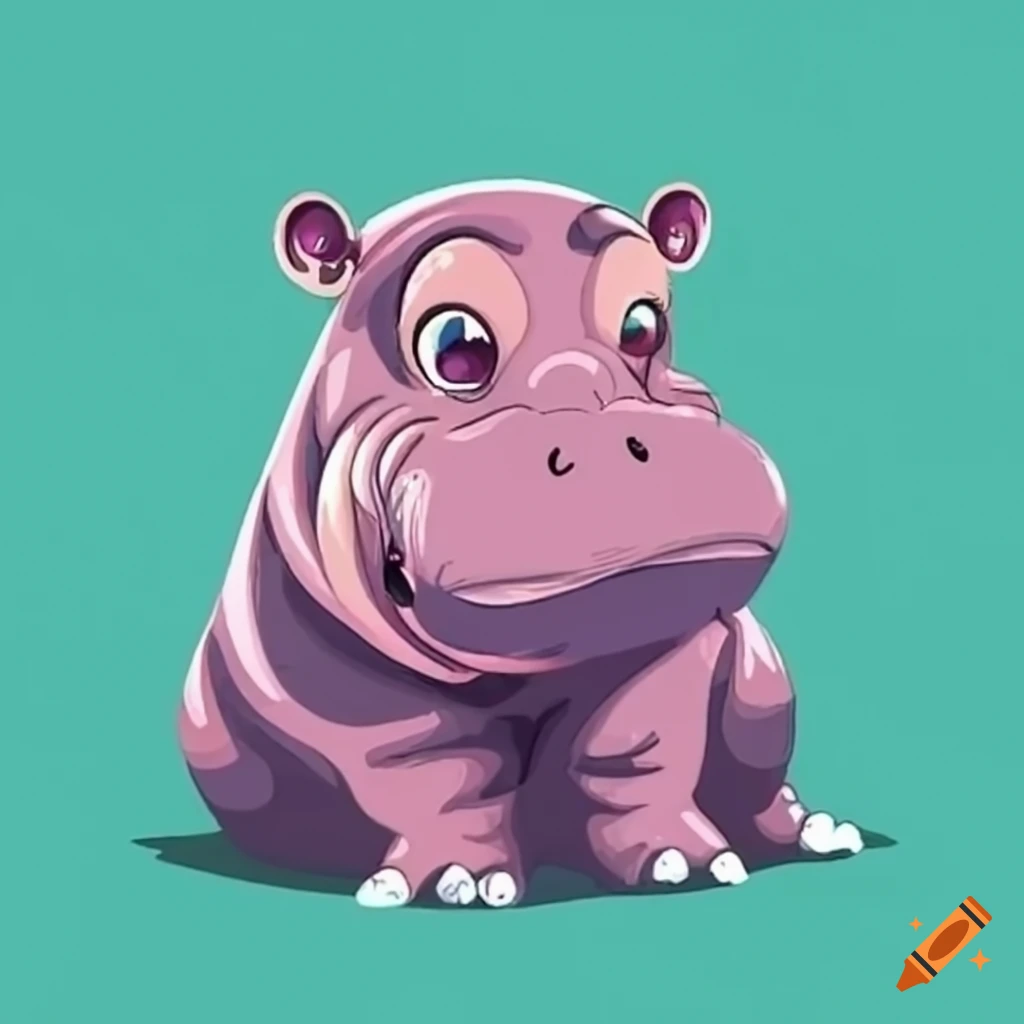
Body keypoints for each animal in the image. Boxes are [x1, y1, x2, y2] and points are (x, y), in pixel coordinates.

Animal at [178, 178, 864, 910]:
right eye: (456, 345)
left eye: (643, 326)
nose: (610, 444)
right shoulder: (340, 684)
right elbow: (432, 771)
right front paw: (456, 882)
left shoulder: (672, 645)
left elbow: (637, 750)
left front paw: (682, 864)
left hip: (764, 695)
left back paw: (816, 834)